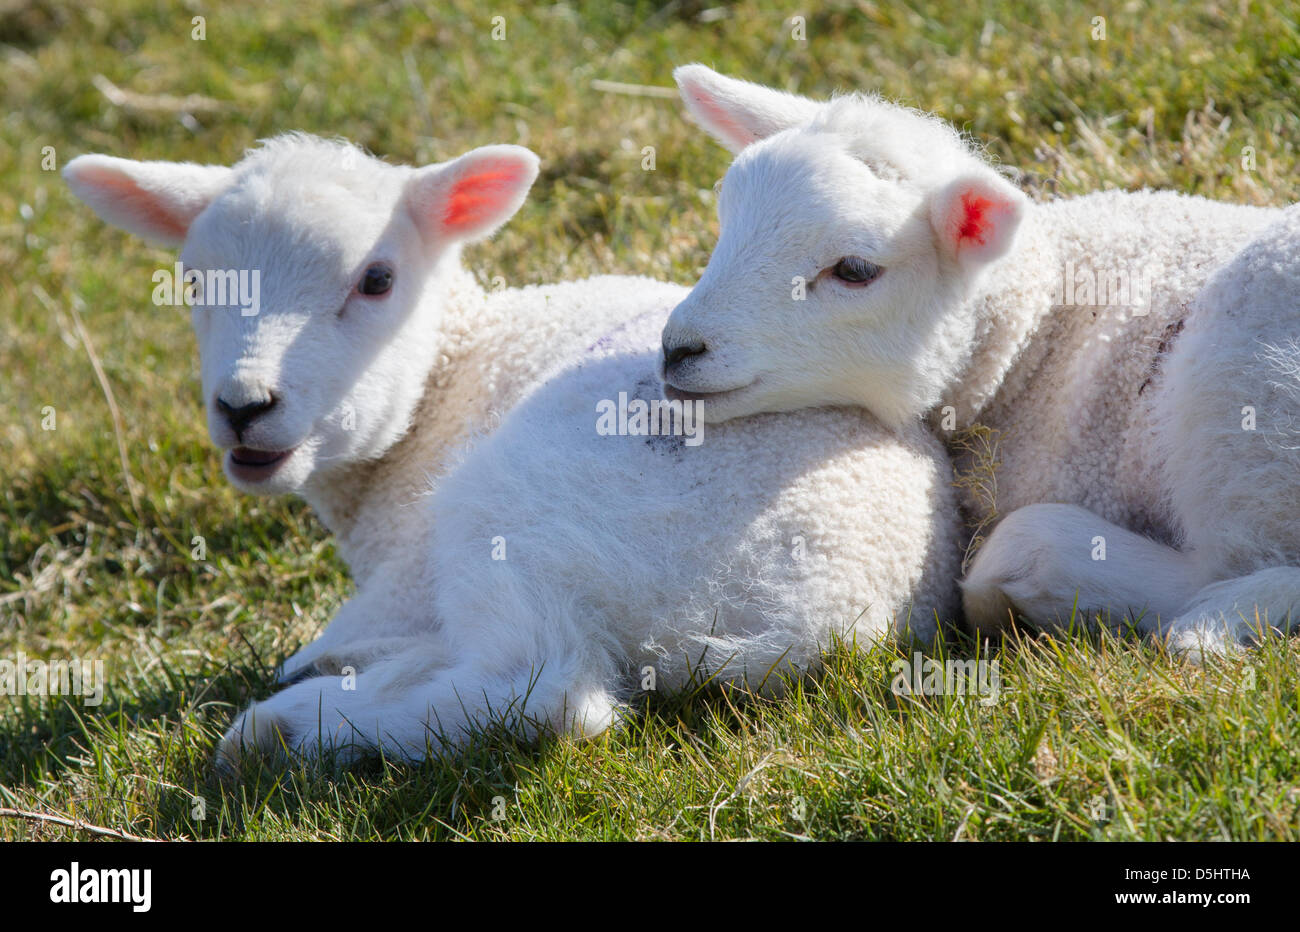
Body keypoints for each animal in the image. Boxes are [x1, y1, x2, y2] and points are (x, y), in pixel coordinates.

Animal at [65, 133, 962, 764]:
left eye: (377, 281)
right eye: (193, 284)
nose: (245, 407)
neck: (451, 378)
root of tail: (832, 607)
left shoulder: (415, 564)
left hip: (525, 511)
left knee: (547, 692)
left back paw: (293, 729)